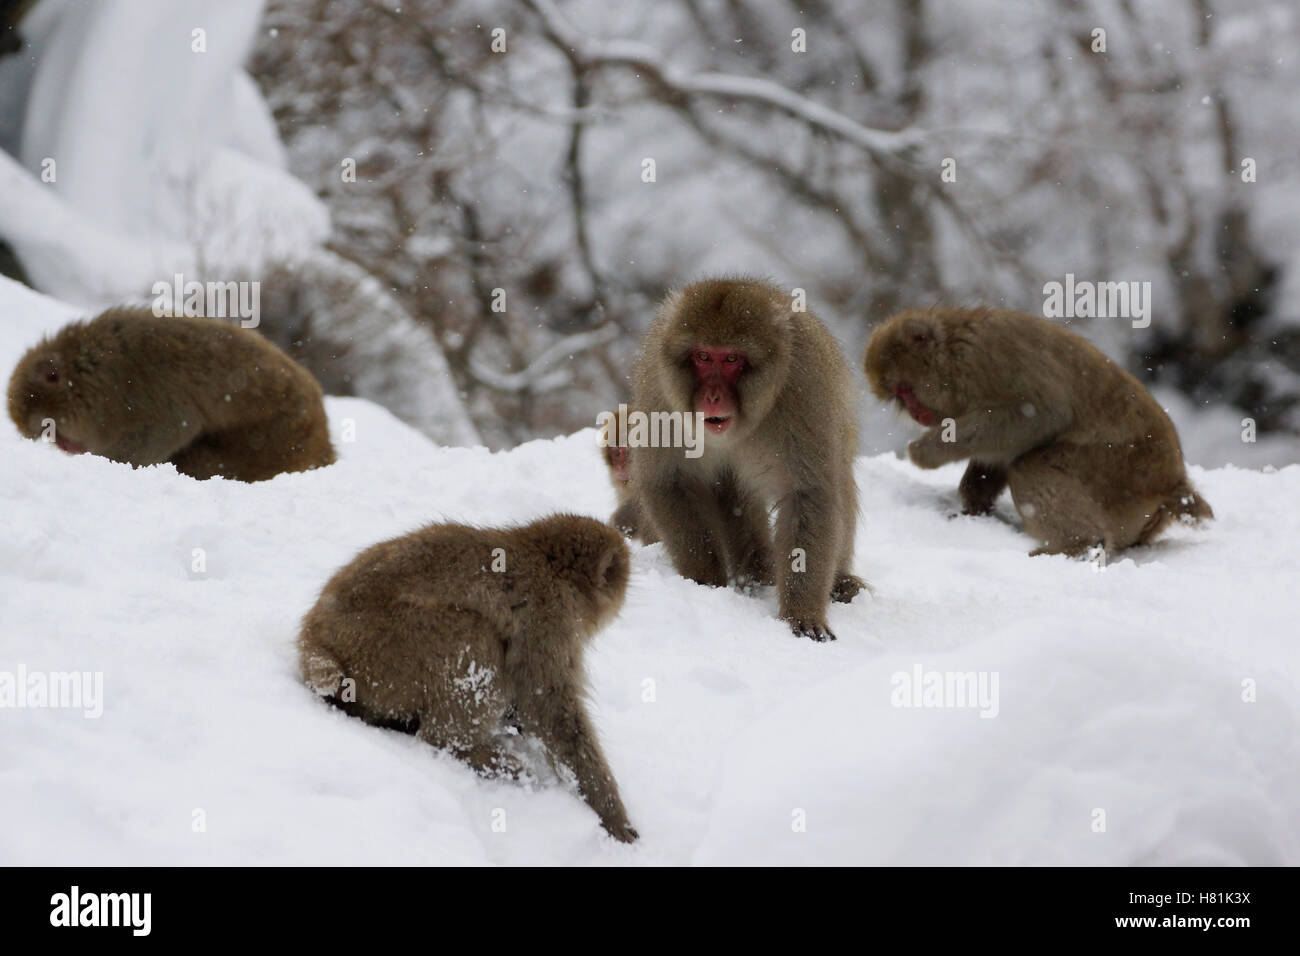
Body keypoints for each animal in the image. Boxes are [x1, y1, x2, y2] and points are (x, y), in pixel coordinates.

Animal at [298, 513, 638, 843]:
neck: (550, 564)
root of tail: (315, 637)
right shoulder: (548, 621)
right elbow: (549, 707)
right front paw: (611, 814)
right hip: (384, 648)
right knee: (475, 635)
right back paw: (472, 751)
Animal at [630, 277, 865, 642]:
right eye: (703, 356)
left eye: (730, 359)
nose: (712, 396)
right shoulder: (658, 388)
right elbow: (669, 479)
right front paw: (706, 581)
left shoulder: (805, 385)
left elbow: (809, 495)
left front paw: (802, 613)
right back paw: (754, 573)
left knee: (839, 480)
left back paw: (837, 582)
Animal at [863, 306, 1213, 557]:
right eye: (899, 397)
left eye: (904, 390)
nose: (915, 413)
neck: (954, 350)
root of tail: (1173, 484)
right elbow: (997, 456)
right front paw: (973, 506)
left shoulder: (987, 357)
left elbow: (1041, 415)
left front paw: (926, 451)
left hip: (1121, 473)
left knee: (1029, 468)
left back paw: (1079, 544)